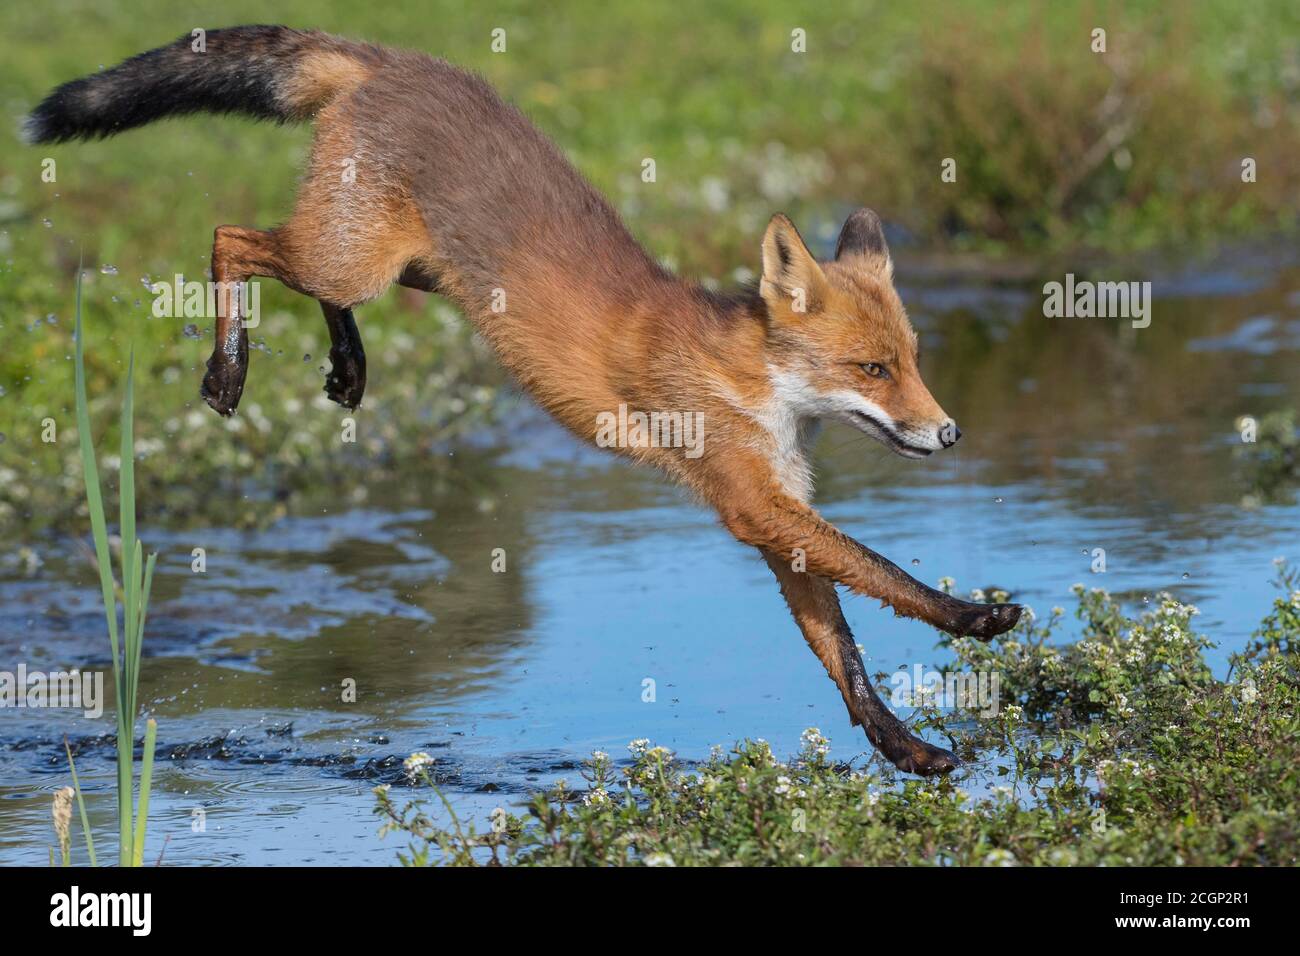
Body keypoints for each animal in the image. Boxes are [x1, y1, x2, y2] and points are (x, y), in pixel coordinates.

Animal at [27, 26, 1023, 775]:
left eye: (913, 360)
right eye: (872, 371)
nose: (950, 432)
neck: (745, 380)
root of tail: (398, 59)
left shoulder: (776, 518)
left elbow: (844, 649)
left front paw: (904, 748)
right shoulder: (750, 503)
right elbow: (879, 570)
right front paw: (974, 617)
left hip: (415, 271)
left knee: (296, 271)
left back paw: (347, 366)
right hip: (353, 257)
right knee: (230, 236)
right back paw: (227, 370)